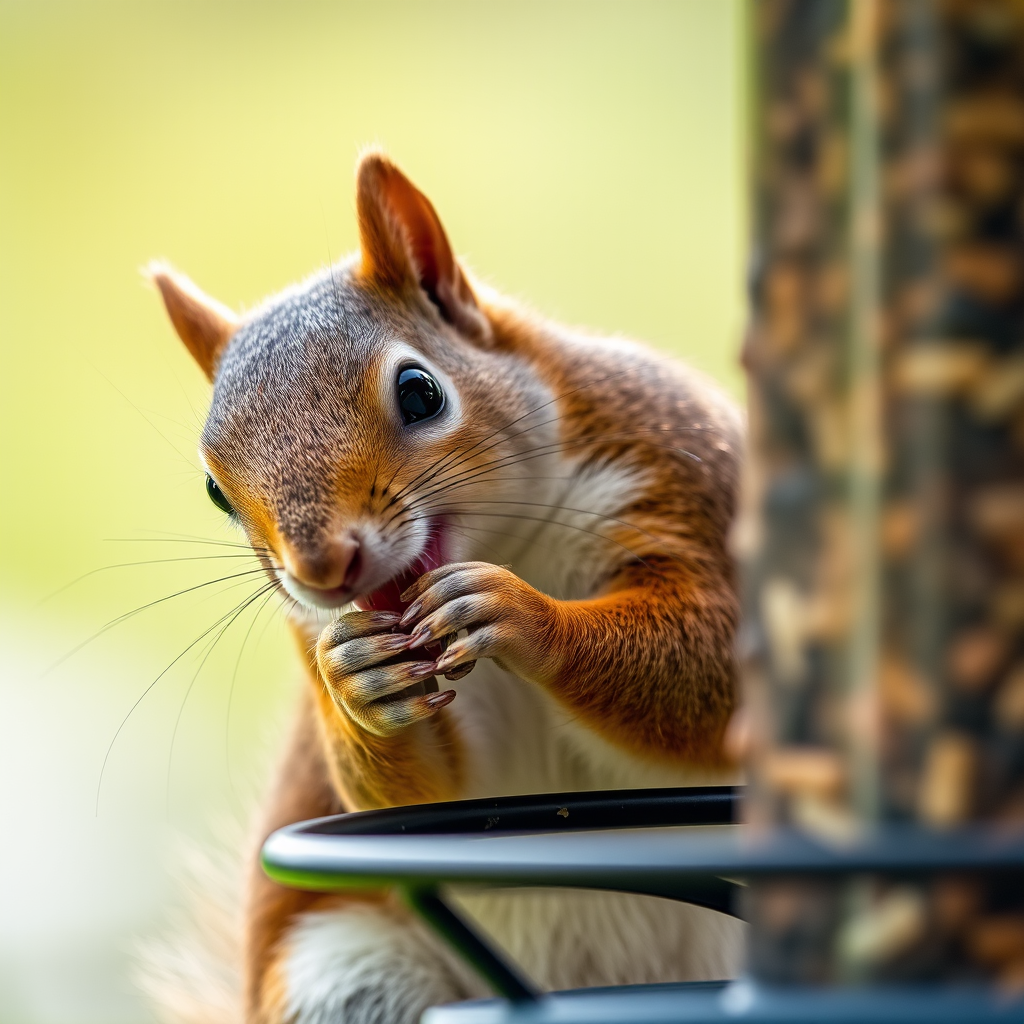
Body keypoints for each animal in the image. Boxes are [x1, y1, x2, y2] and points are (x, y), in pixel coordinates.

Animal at [147, 151, 745, 1024]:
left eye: (420, 391)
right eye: (216, 491)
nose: (322, 569)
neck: (511, 543)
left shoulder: (679, 483)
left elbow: (713, 670)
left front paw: (526, 616)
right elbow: (420, 791)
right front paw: (359, 680)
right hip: (343, 976)